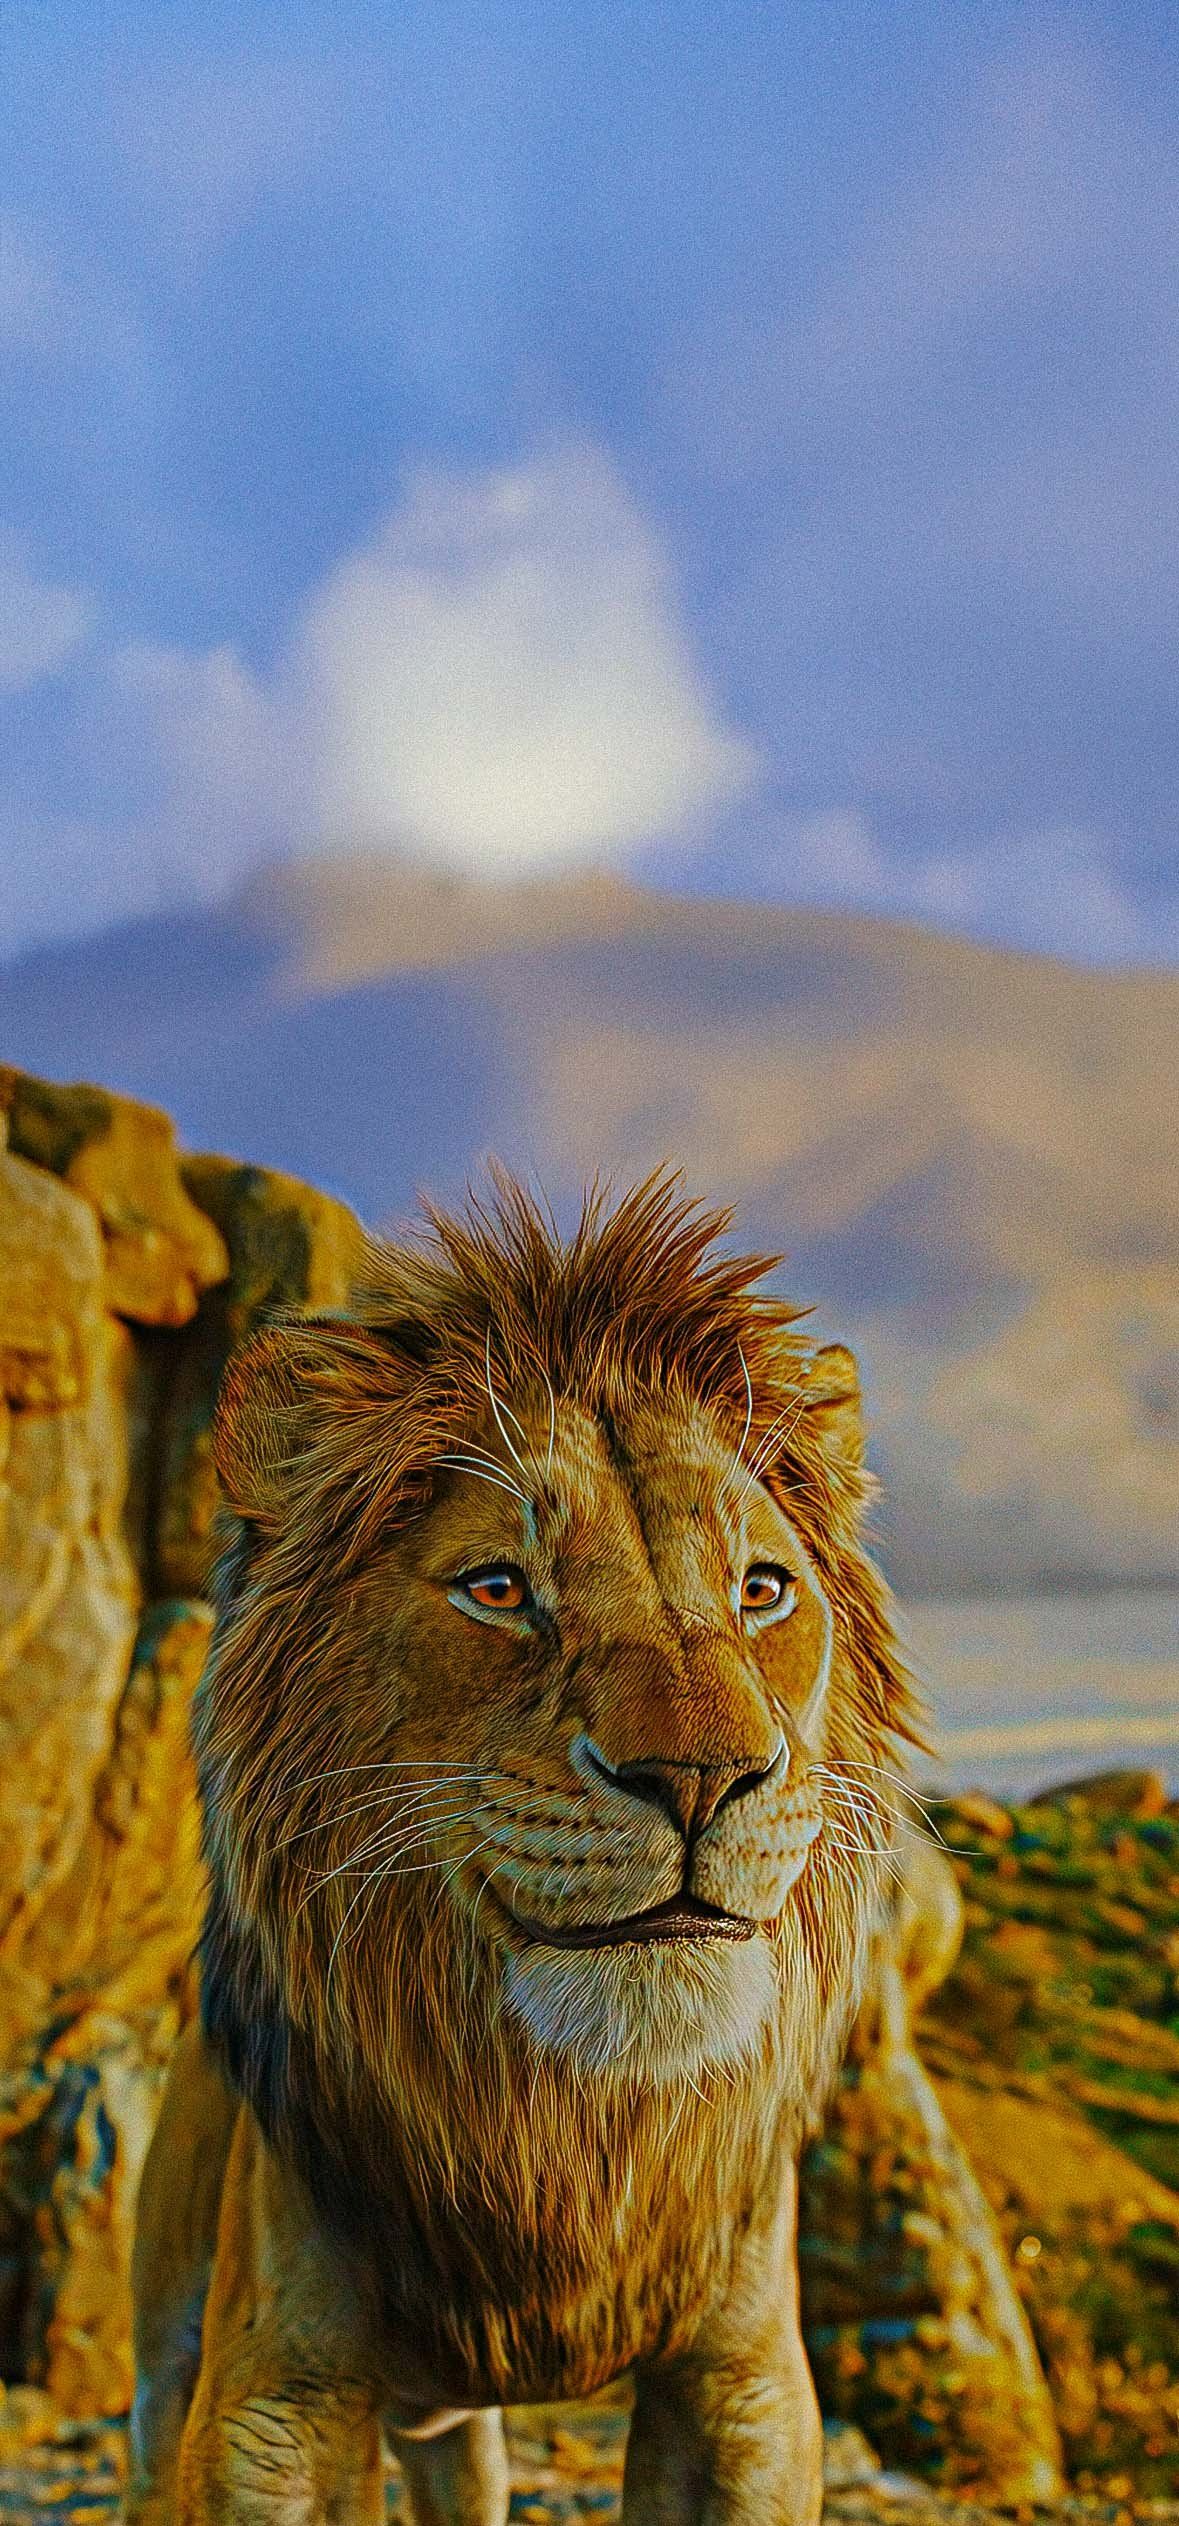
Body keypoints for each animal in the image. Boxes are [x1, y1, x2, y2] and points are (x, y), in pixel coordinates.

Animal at [128, 1171, 917, 2524]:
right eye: (497, 1589)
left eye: (762, 1591)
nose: (703, 1776)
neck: (561, 2134)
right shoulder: (273, 2406)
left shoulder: (746, 2384)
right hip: (163, 2365)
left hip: (460, 2439)